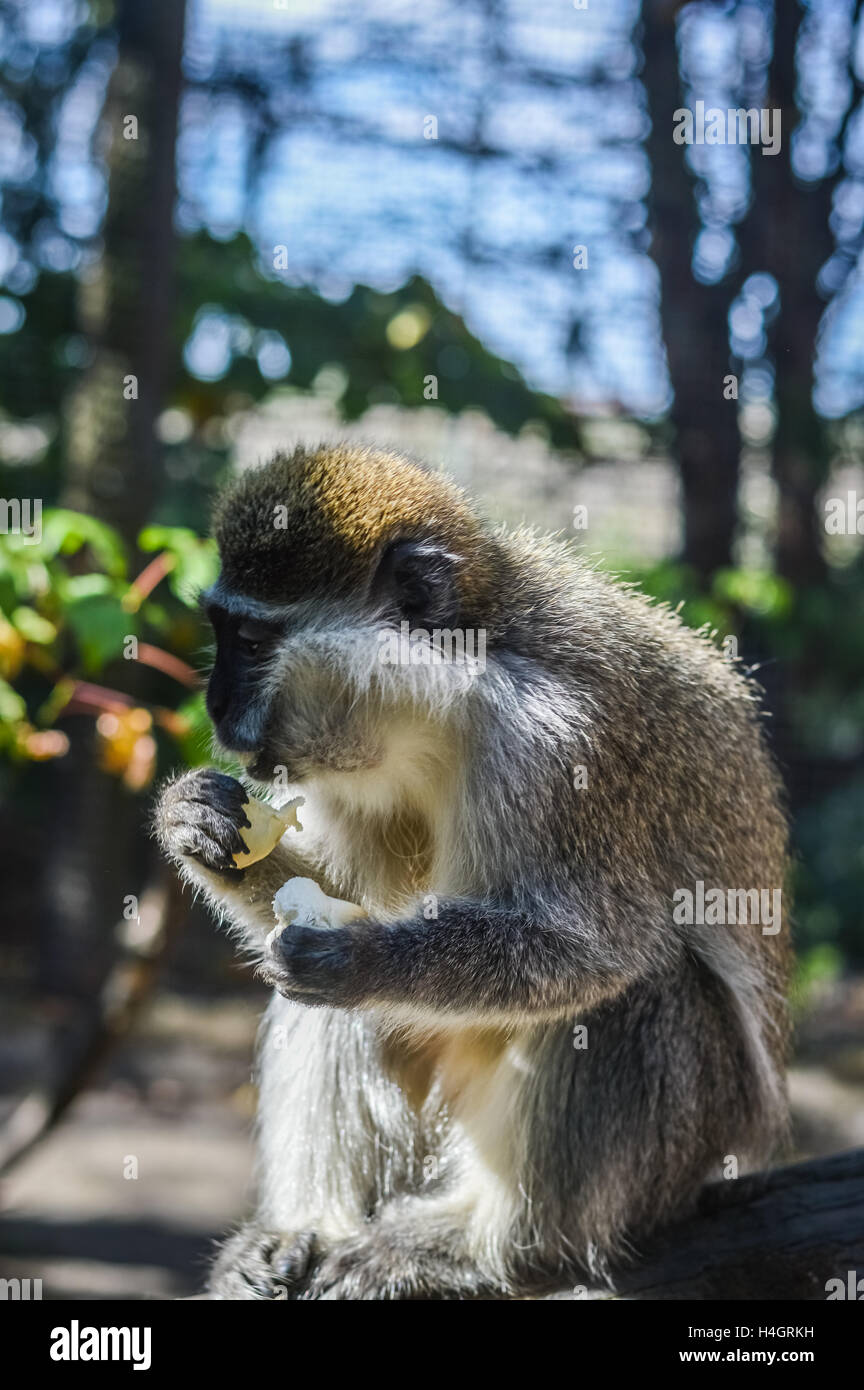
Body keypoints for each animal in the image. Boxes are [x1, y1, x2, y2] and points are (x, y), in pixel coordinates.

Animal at [155, 442, 792, 1300]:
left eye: (251, 640)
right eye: (220, 631)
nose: (216, 706)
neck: (443, 698)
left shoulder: (561, 743)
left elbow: (595, 953)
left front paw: (362, 957)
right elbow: (332, 898)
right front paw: (196, 823)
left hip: (683, 1149)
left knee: (639, 987)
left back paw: (498, 1249)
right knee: (330, 1007)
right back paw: (308, 1230)